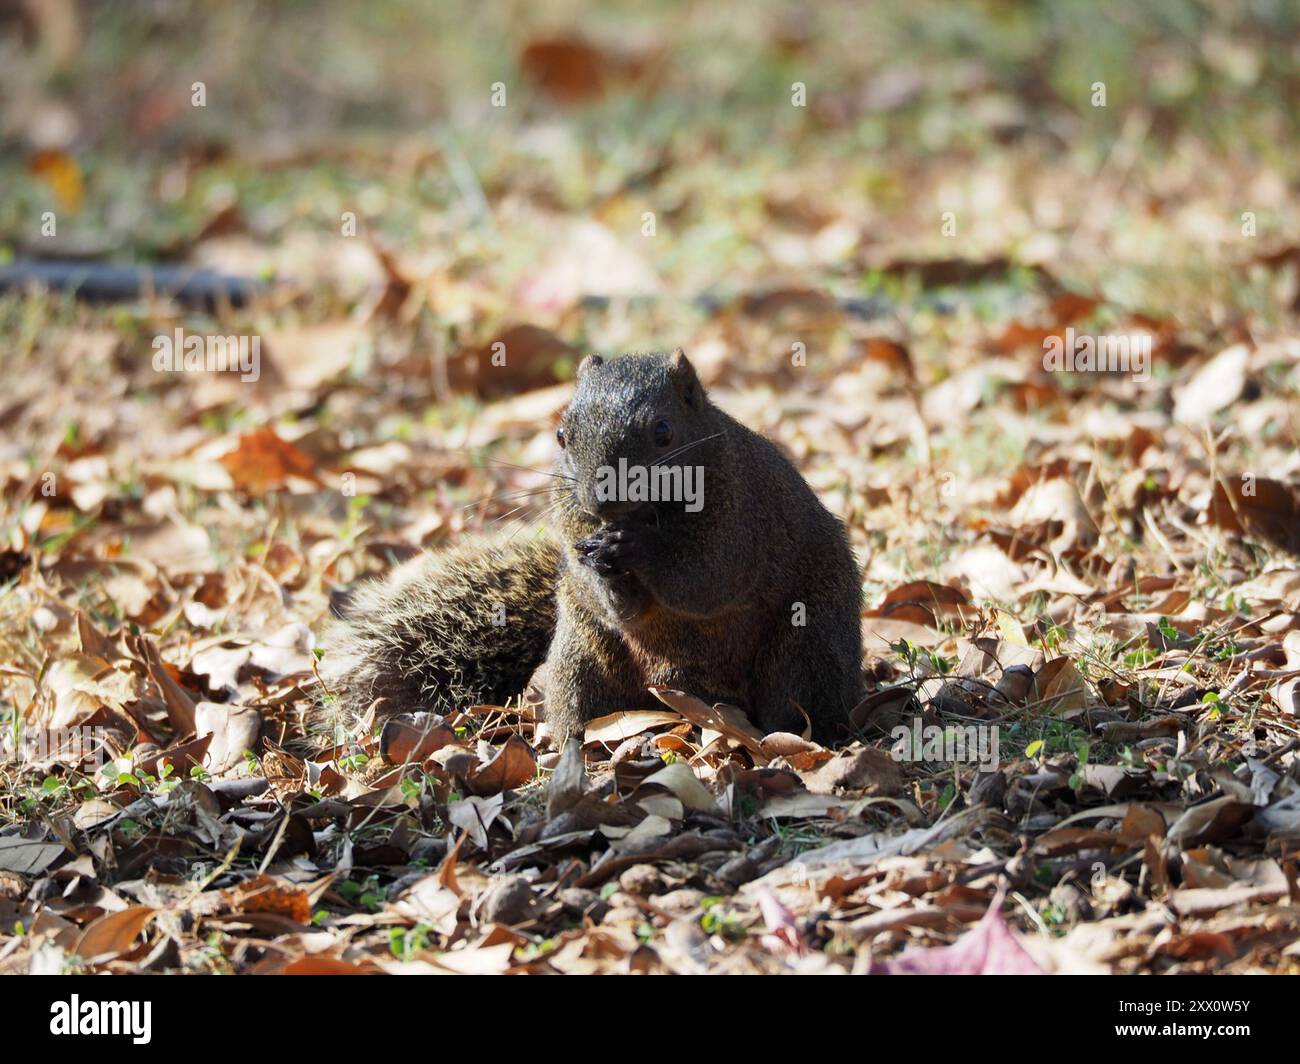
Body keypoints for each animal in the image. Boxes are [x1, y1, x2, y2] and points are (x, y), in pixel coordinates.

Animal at [327, 349, 863, 746]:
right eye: (561, 435)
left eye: (663, 431)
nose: (601, 501)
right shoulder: (571, 523)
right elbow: (617, 599)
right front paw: (604, 567)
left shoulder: (741, 517)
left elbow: (706, 580)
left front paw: (636, 549)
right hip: (582, 661)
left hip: (807, 648)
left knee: (797, 702)